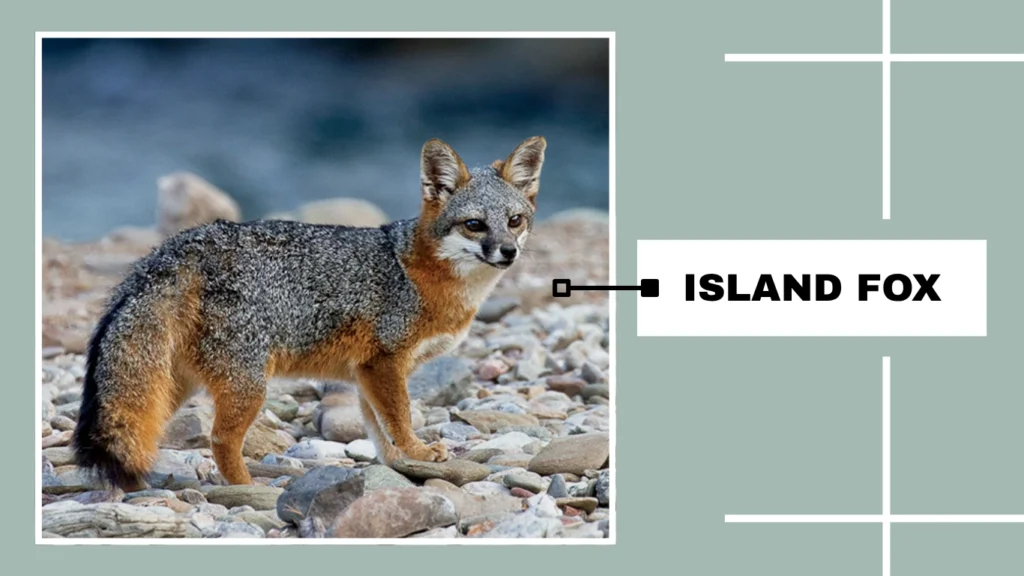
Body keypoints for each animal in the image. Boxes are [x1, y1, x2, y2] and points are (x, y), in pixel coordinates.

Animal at [72, 136, 546, 491]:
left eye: (515, 221)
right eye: (475, 225)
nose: (507, 252)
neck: (419, 273)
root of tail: (183, 244)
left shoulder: (367, 372)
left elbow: (380, 430)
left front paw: (400, 466)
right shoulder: (385, 363)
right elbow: (400, 417)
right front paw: (419, 452)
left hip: (172, 385)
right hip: (248, 385)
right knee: (220, 438)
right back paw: (247, 489)